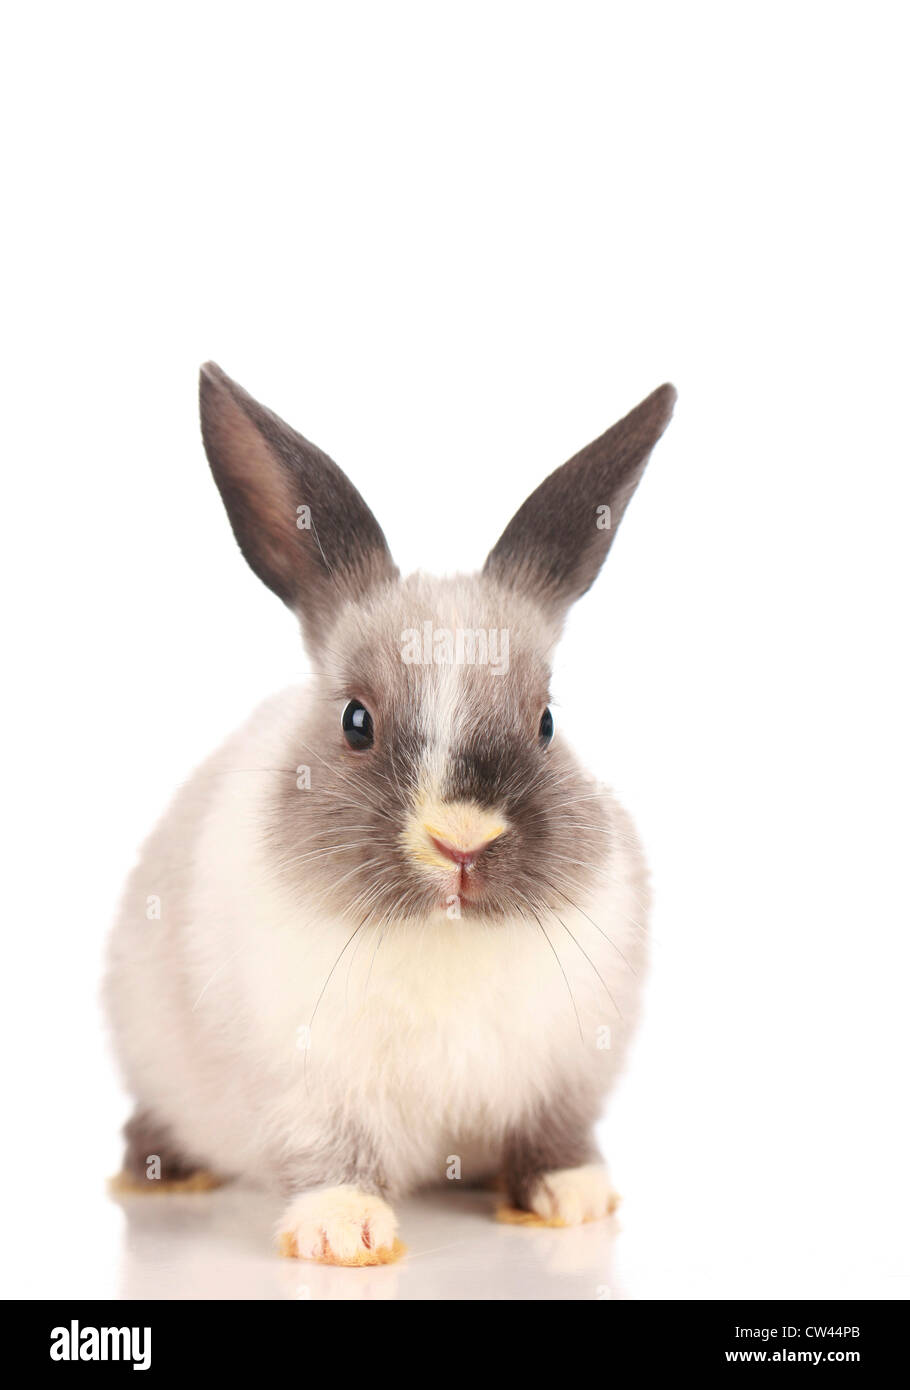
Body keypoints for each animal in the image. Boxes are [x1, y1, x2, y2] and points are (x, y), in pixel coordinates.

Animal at [104, 363, 676, 1265]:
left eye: (548, 722)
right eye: (355, 722)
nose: (461, 842)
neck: (446, 935)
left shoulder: (566, 1074)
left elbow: (554, 1135)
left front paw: (574, 1199)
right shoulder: (308, 1087)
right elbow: (330, 1155)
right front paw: (345, 1233)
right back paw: (162, 1177)